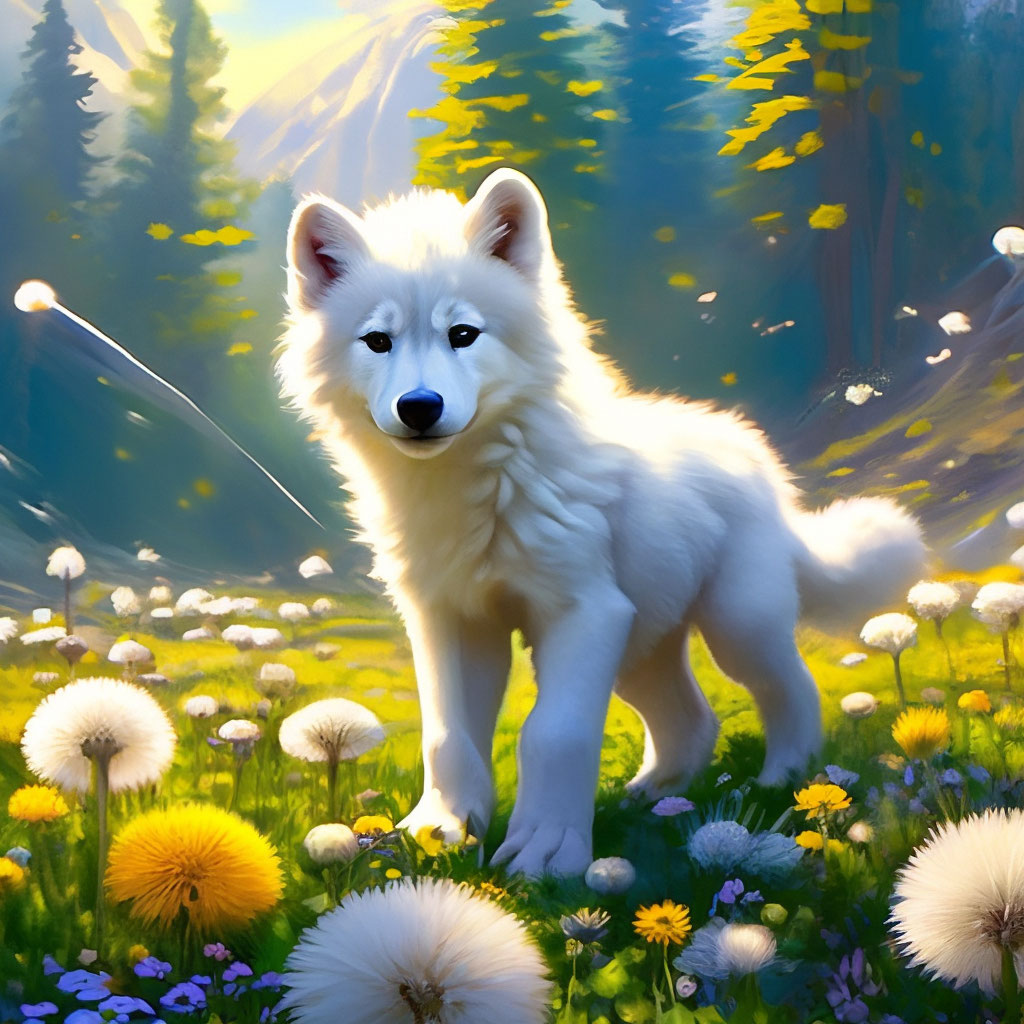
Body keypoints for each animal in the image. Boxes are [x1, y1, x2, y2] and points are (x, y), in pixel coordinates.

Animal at [276, 168, 925, 877]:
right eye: (378, 341)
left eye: (463, 334)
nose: (419, 407)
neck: (476, 488)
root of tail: (759, 459)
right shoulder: (453, 622)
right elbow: (447, 737)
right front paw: (440, 830)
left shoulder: (583, 612)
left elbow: (552, 734)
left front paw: (545, 851)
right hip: (642, 645)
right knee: (692, 721)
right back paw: (654, 797)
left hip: (734, 627)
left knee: (795, 691)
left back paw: (787, 782)